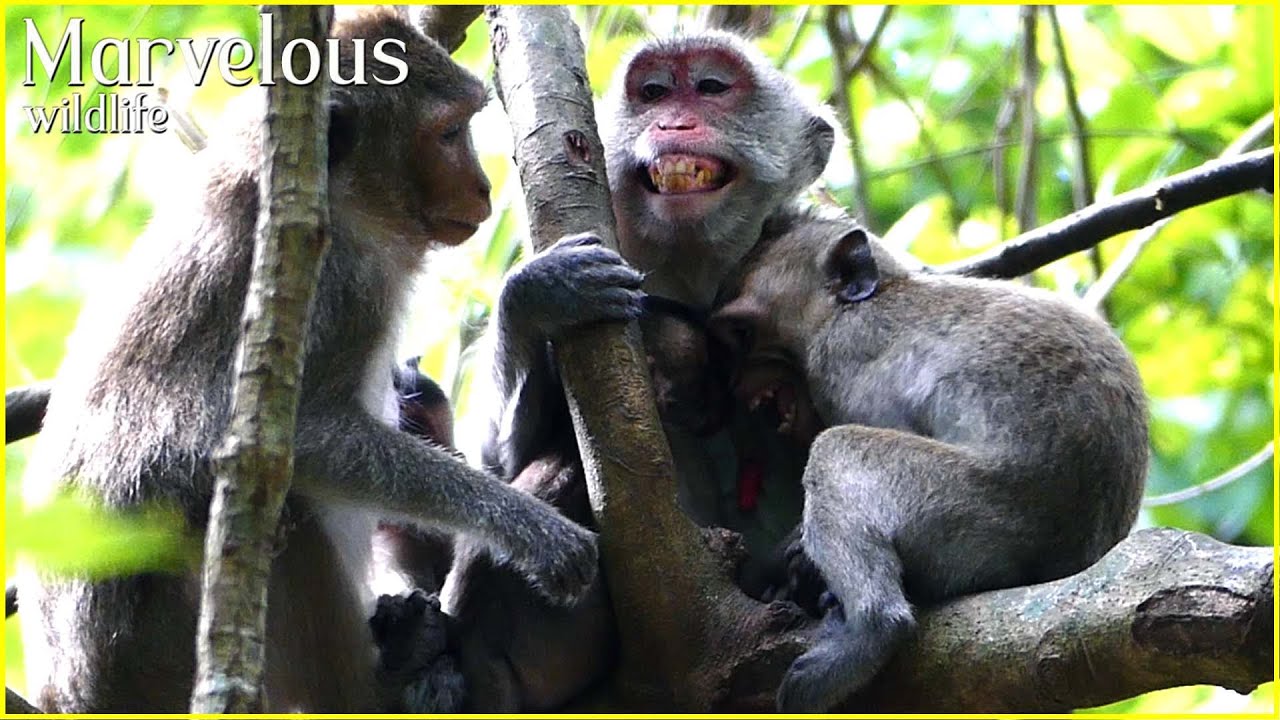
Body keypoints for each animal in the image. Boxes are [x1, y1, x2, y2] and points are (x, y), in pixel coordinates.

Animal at [15, 9, 597, 713]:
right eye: (449, 132)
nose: (483, 187)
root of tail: (67, 694)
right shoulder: (339, 281)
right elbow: (304, 433)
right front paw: (527, 529)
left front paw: (536, 301)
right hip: (164, 659)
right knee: (272, 487)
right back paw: (377, 688)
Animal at [427, 31, 838, 711]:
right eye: (653, 93)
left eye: (711, 87)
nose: (673, 120)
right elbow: (496, 466)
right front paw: (543, 294)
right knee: (553, 475)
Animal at [709, 206, 1149, 712]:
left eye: (743, 334)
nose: (735, 382)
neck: (871, 298)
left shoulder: (843, 364)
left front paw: (796, 562)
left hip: (977, 514)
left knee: (837, 450)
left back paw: (870, 630)